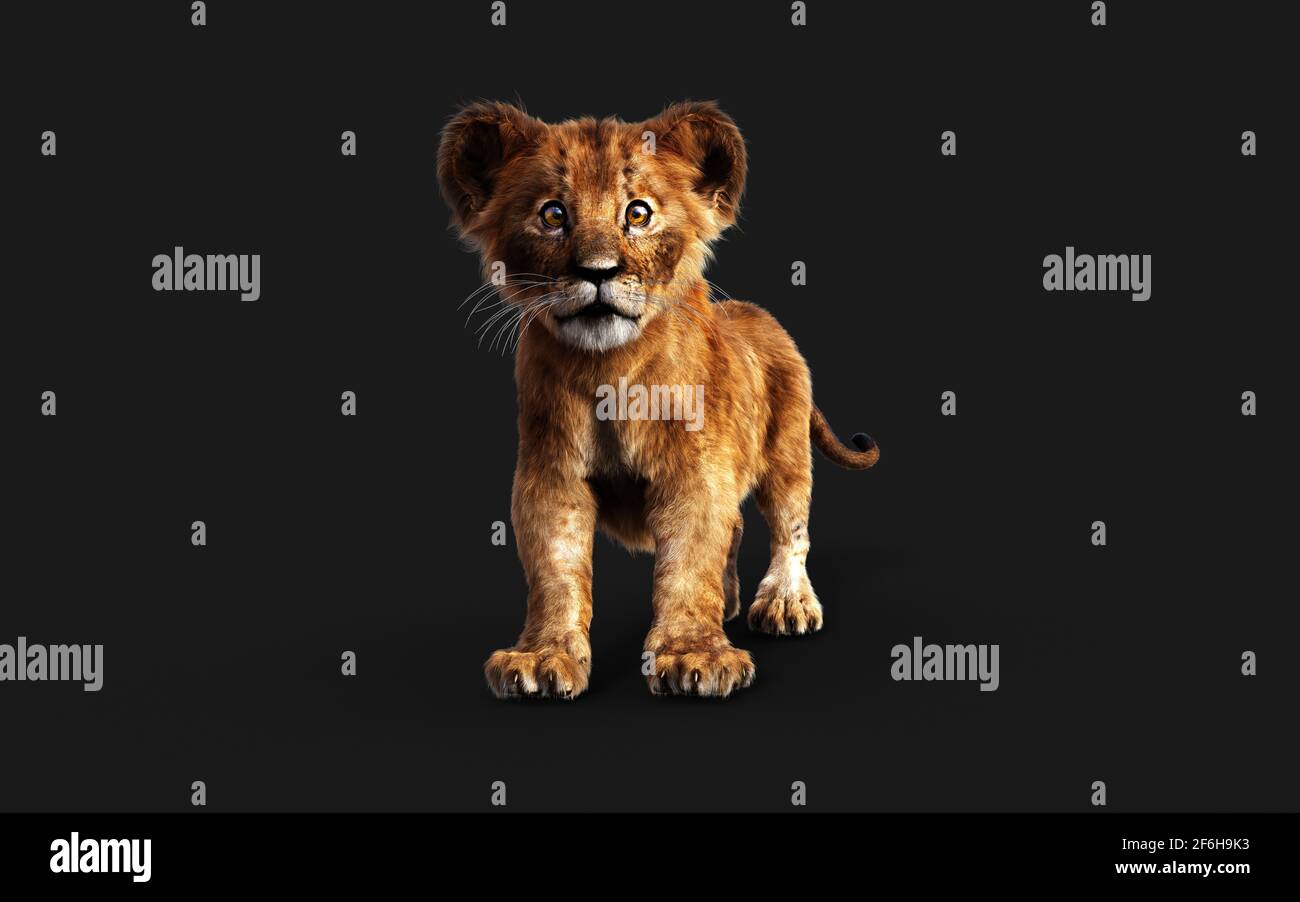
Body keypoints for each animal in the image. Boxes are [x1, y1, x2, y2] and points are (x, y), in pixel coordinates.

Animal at [438, 100, 879, 699]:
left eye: (638, 213)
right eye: (553, 214)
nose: (597, 271)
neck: (608, 372)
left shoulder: (695, 472)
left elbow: (690, 561)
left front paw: (694, 656)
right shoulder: (550, 475)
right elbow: (555, 568)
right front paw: (541, 658)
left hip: (788, 451)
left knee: (791, 525)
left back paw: (786, 603)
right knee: (736, 527)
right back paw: (731, 601)